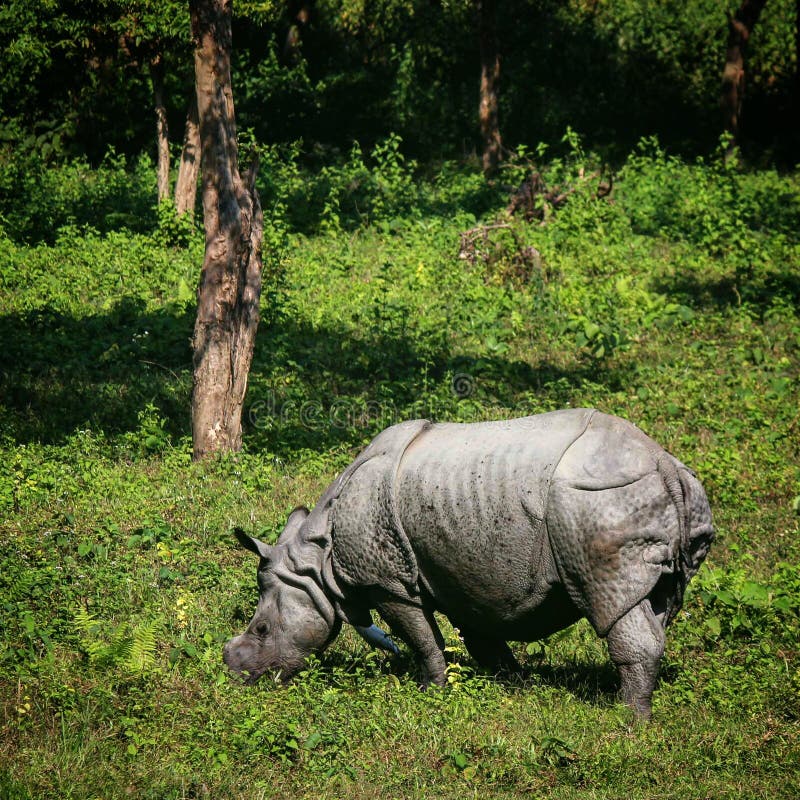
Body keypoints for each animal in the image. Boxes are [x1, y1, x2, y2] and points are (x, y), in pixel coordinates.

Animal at [224, 409, 713, 718]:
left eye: (262, 630)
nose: (237, 675)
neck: (317, 559)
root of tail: (666, 466)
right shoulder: (463, 574)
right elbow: (482, 637)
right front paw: (514, 687)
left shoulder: (389, 582)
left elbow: (422, 637)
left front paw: (431, 692)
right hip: (652, 499)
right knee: (657, 603)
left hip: (599, 499)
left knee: (611, 603)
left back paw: (627, 721)